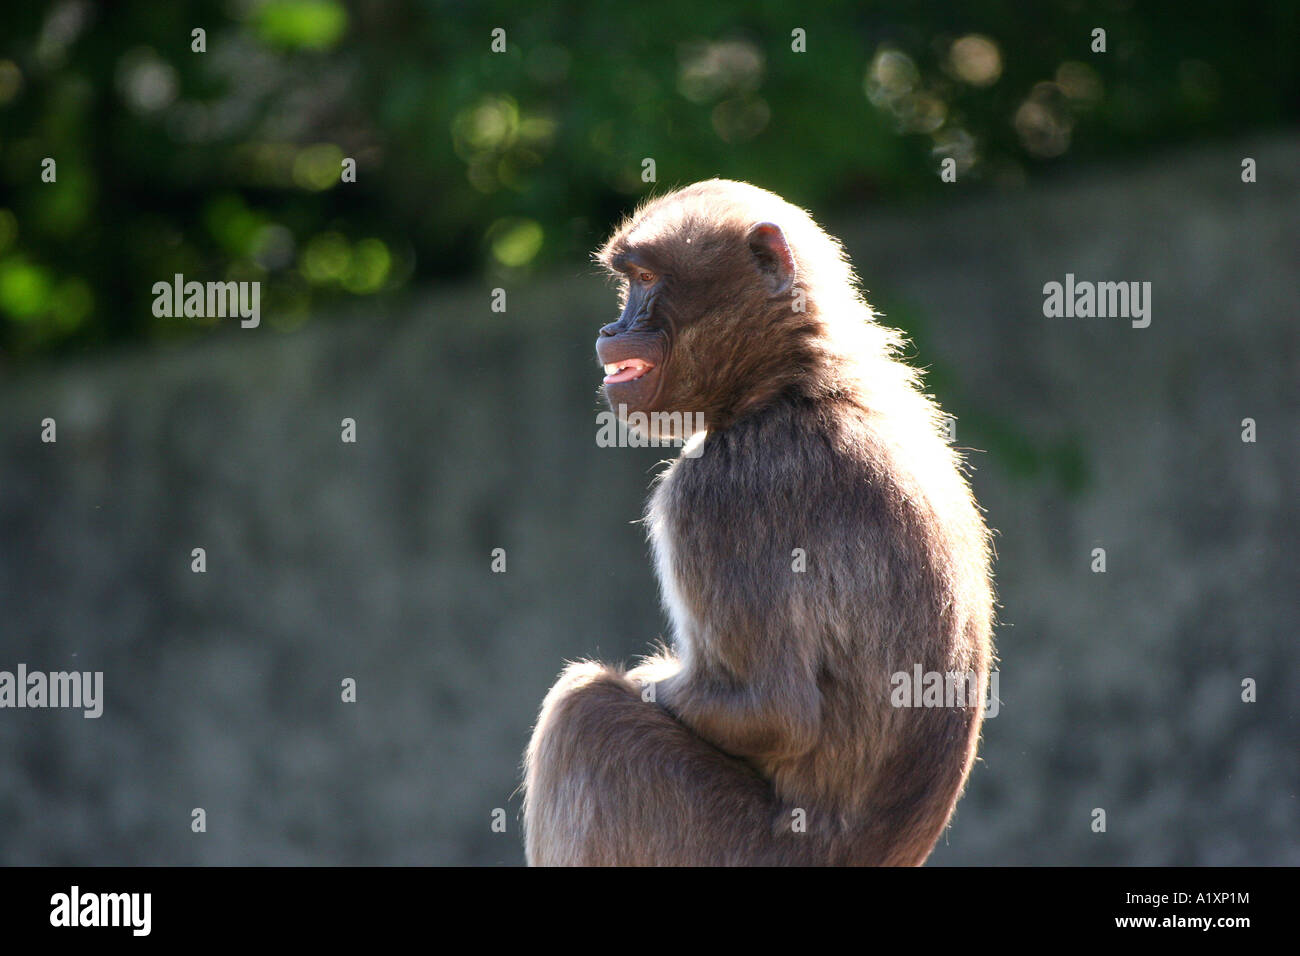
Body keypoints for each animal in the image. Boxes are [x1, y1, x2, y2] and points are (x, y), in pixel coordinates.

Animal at [523, 179, 994, 866]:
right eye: (627, 281)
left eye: (645, 278)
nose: (611, 329)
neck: (794, 384)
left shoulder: (712, 496)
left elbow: (774, 713)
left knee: (584, 712)